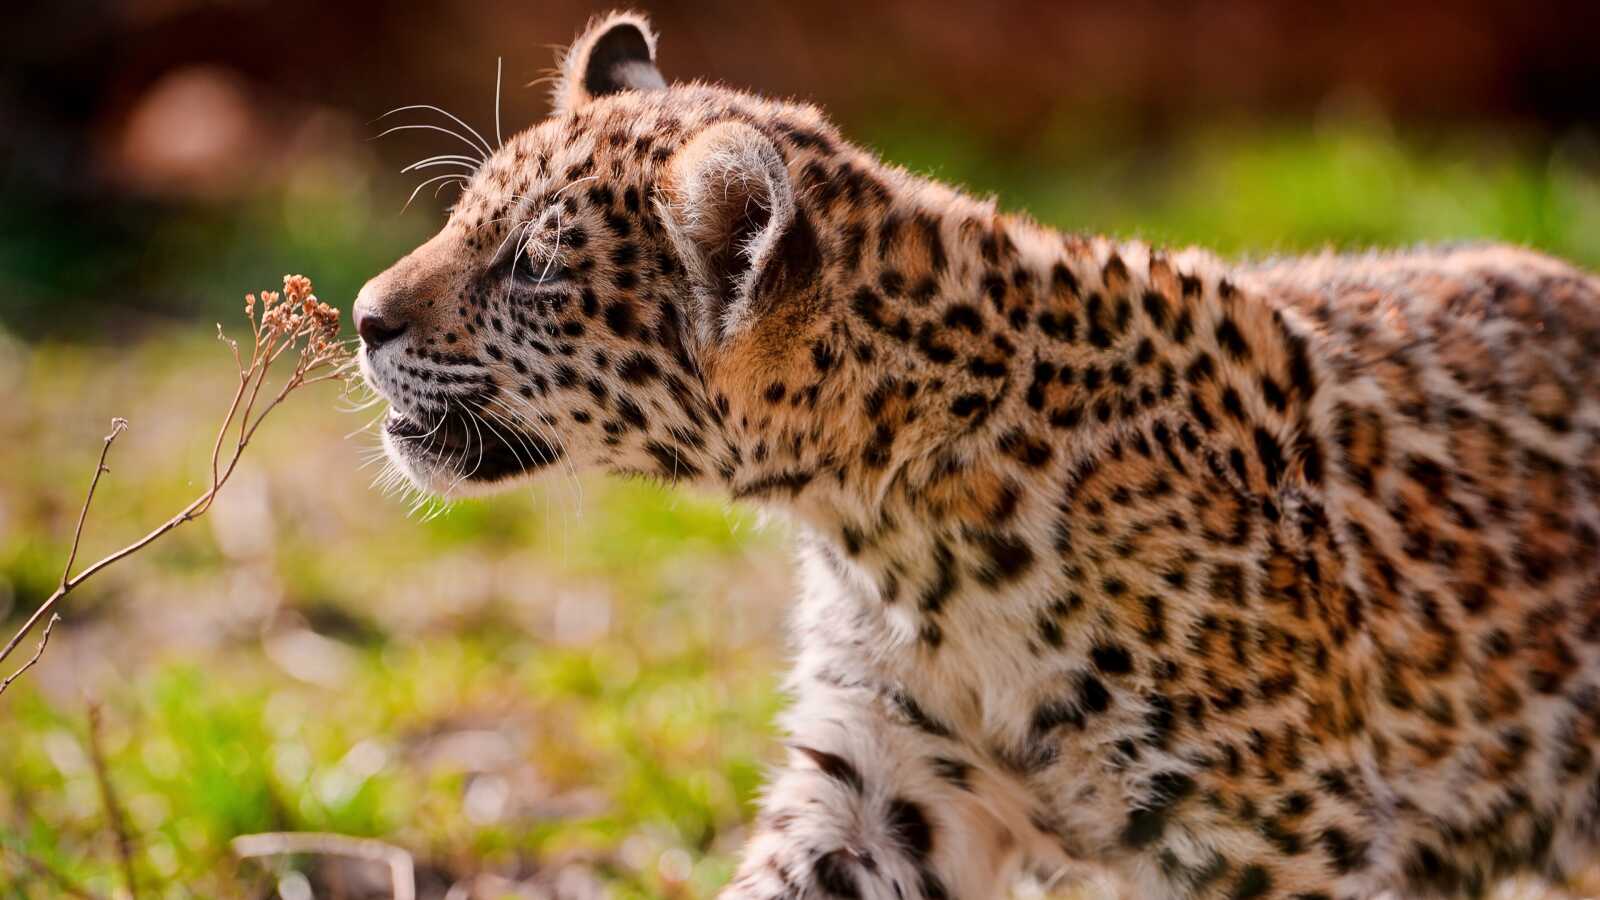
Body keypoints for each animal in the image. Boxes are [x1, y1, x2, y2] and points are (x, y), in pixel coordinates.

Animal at [353, 12, 1600, 899]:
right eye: (464, 216)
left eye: (530, 266)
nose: (363, 318)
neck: (904, 529)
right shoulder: (879, 780)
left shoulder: (1273, 833)